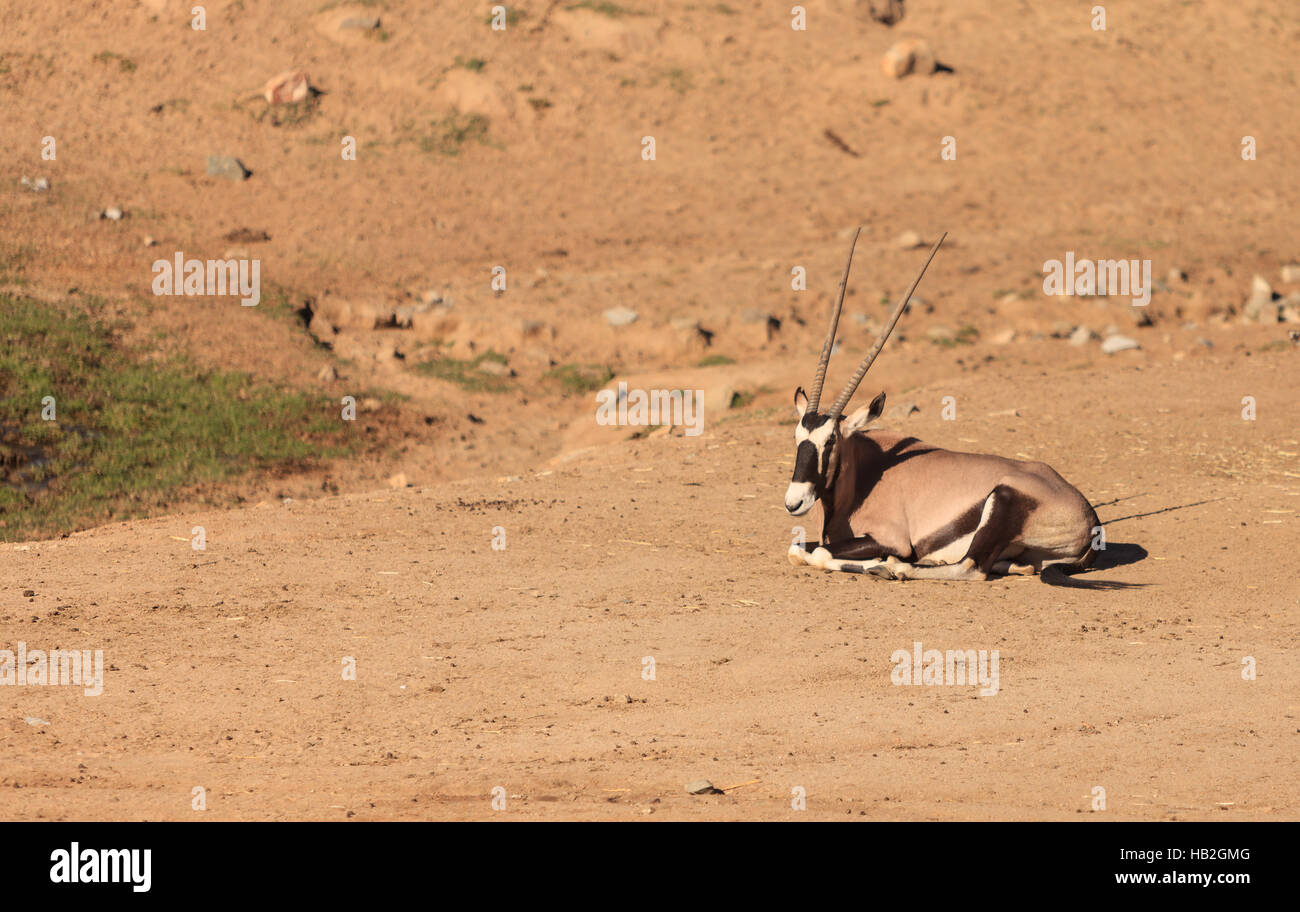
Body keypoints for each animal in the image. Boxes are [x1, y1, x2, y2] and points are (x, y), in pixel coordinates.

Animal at [785, 228, 1102, 584]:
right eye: (797, 437)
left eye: (830, 440)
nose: (794, 502)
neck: (865, 472)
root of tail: (1090, 519)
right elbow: (797, 549)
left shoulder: (890, 537)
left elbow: (820, 553)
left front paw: (883, 561)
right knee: (1017, 565)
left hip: (1001, 501)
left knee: (970, 567)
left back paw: (891, 567)